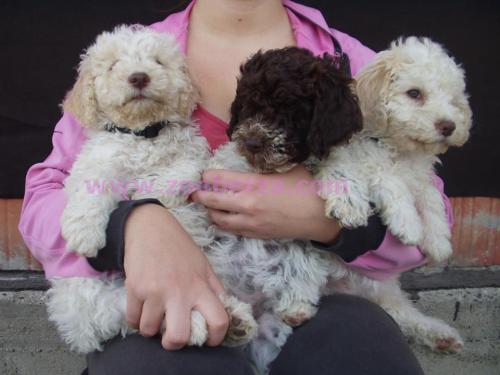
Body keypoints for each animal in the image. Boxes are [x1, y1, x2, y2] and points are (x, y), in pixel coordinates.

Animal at [47, 25, 258, 354]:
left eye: (158, 62)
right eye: (112, 65)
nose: (138, 77)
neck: (144, 134)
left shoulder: (193, 152)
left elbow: (185, 169)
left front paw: (157, 191)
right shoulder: (98, 159)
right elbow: (91, 186)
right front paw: (84, 235)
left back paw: (234, 319)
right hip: (88, 297)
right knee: (131, 313)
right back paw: (205, 324)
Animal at [316, 36, 472, 354]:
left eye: (452, 100)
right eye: (414, 93)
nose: (448, 125)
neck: (398, 149)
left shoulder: (420, 176)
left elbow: (431, 197)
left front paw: (438, 240)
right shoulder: (349, 160)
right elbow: (388, 178)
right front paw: (409, 225)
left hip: (379, 287)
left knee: (400, 313)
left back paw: (439, 333)